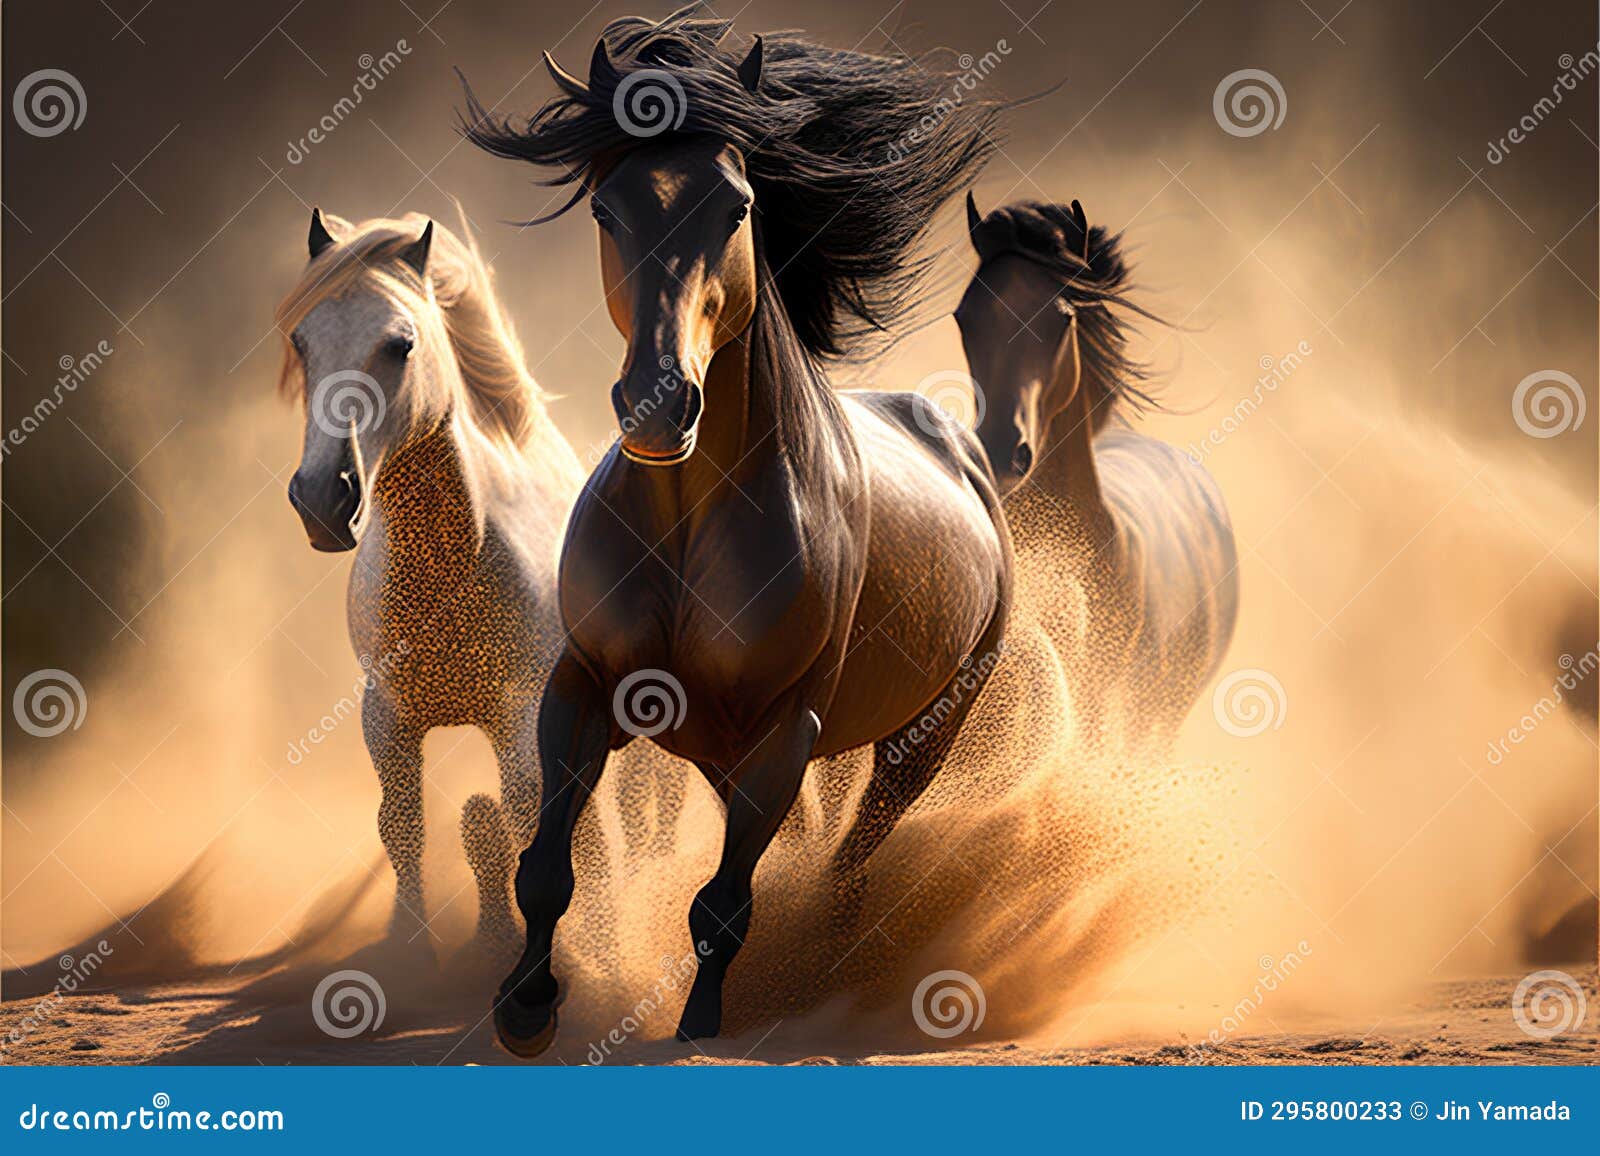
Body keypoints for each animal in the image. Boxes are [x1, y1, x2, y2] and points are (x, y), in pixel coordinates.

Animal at [274, 208, 589, 970]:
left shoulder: (521, 713)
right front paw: (411, 949)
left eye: (401, 344)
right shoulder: (384, 712)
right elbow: (401, 823)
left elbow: (522, 816)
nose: (323, 499)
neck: (452, 565)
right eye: (302, 340)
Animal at [464, 10, 1012, 1053]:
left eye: (736, 206)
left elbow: (723, 904)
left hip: (924, 733)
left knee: (849, 857)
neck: (686, 521)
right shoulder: (586, 685)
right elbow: (546, 864)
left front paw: (702, 1024)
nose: (658, 404)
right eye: (608, 210)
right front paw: (523, 1006)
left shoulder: (785, 726)